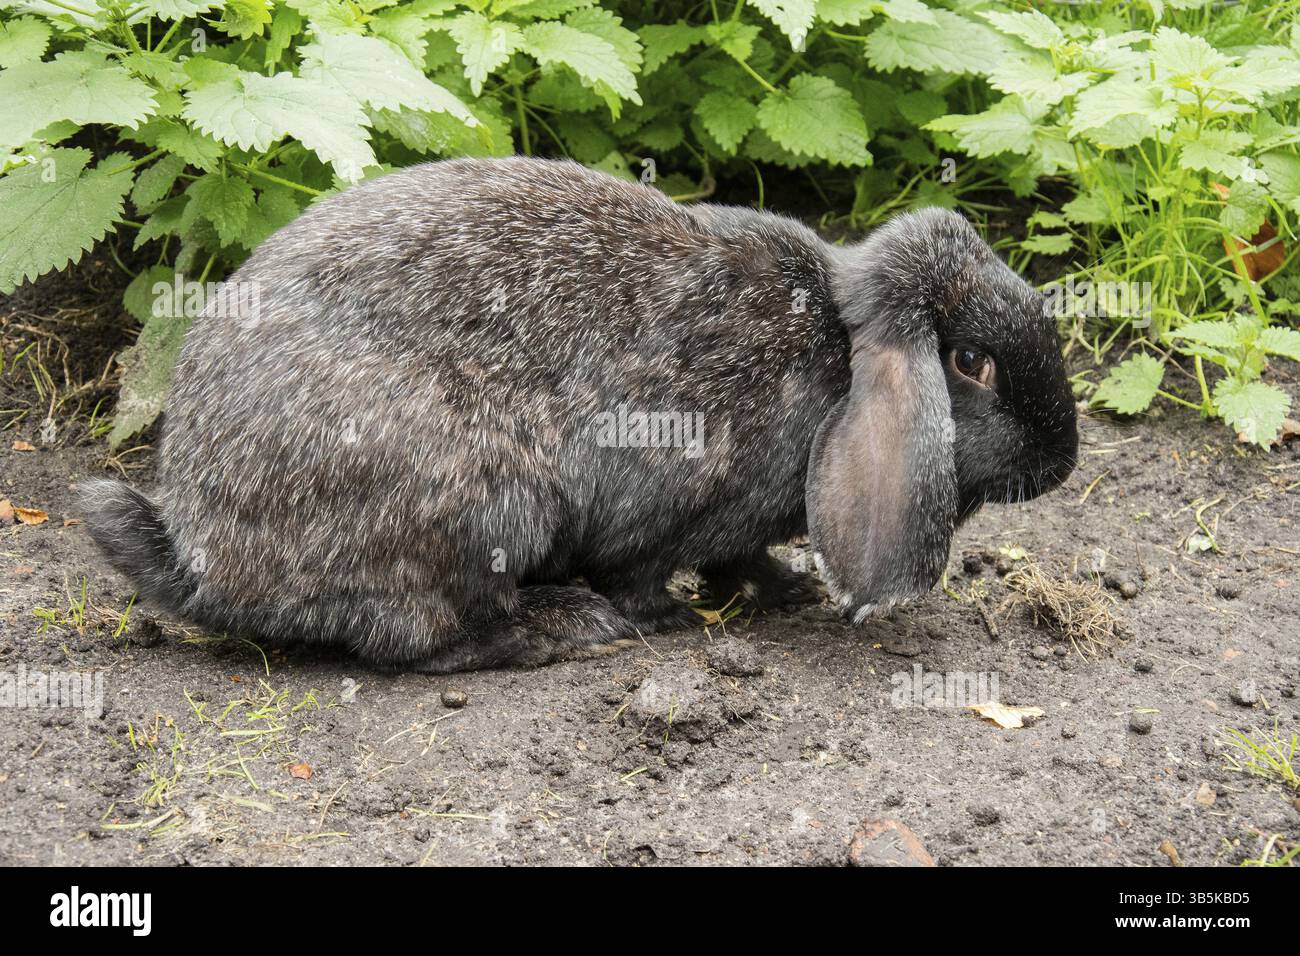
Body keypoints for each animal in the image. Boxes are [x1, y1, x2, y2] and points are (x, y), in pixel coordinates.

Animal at [80, 156, 1077, 672]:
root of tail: (204, 559)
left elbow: (745, 558)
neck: (834, 358)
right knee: (426, 640)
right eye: (971, 363)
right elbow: (642, 566)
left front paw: (783, 587)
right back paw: (563, 627)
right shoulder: (665, 510)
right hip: (486, 505)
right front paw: (665, 619)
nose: (1062, 460)